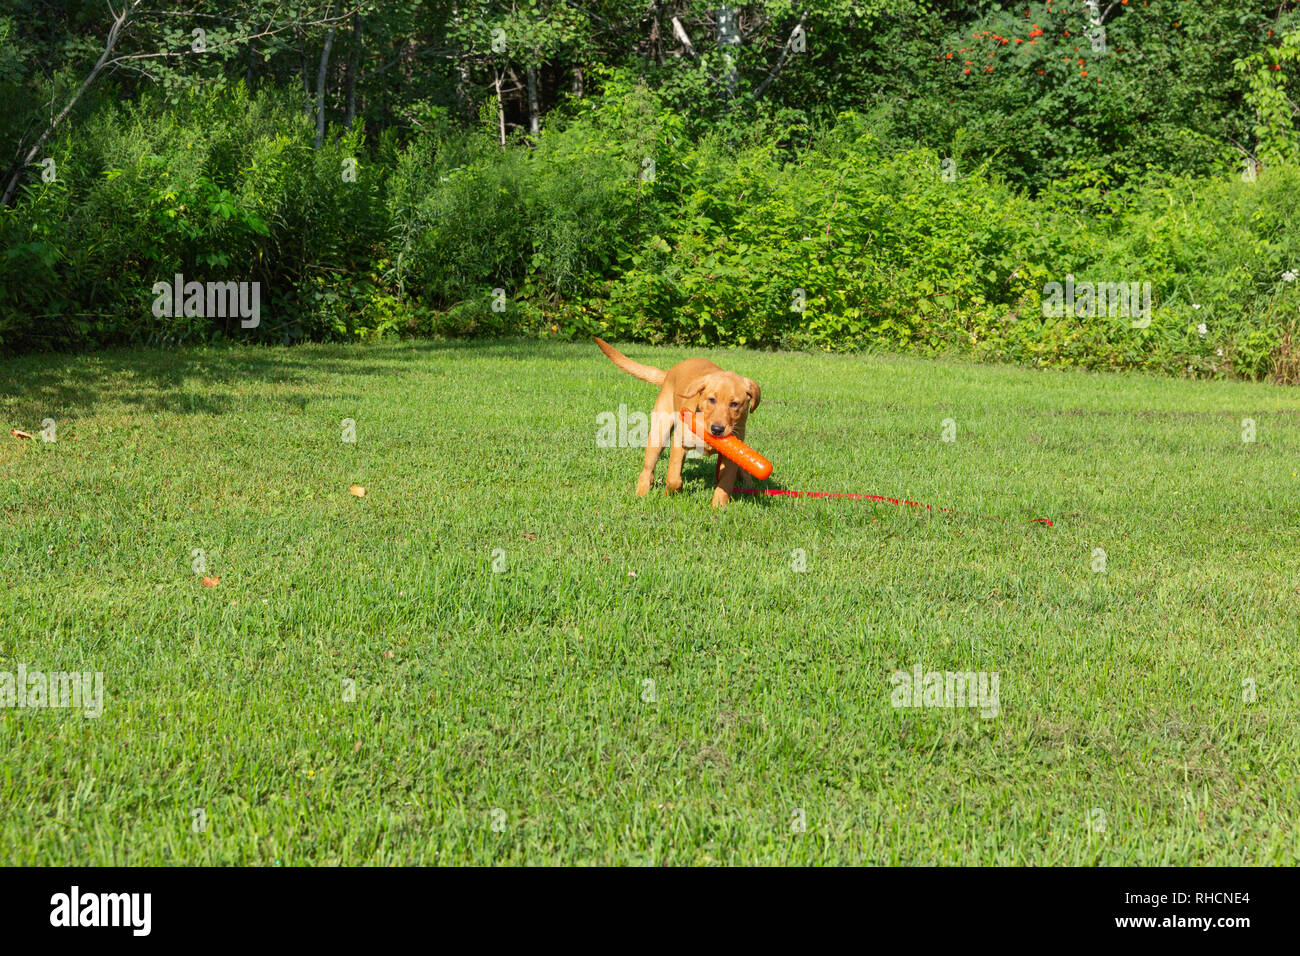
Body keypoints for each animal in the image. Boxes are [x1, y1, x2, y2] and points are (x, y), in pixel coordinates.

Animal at [592, 338, 759, 509]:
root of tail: (670, 372)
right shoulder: (680, 441)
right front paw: (672, 493)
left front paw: (719, 507)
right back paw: (642, 493)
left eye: (735, 404)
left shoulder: (732, 454)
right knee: (648, 469)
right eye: (712, 400)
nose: (717, 429)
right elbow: (673, 477)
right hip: (659, 432)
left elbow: (725, 482)